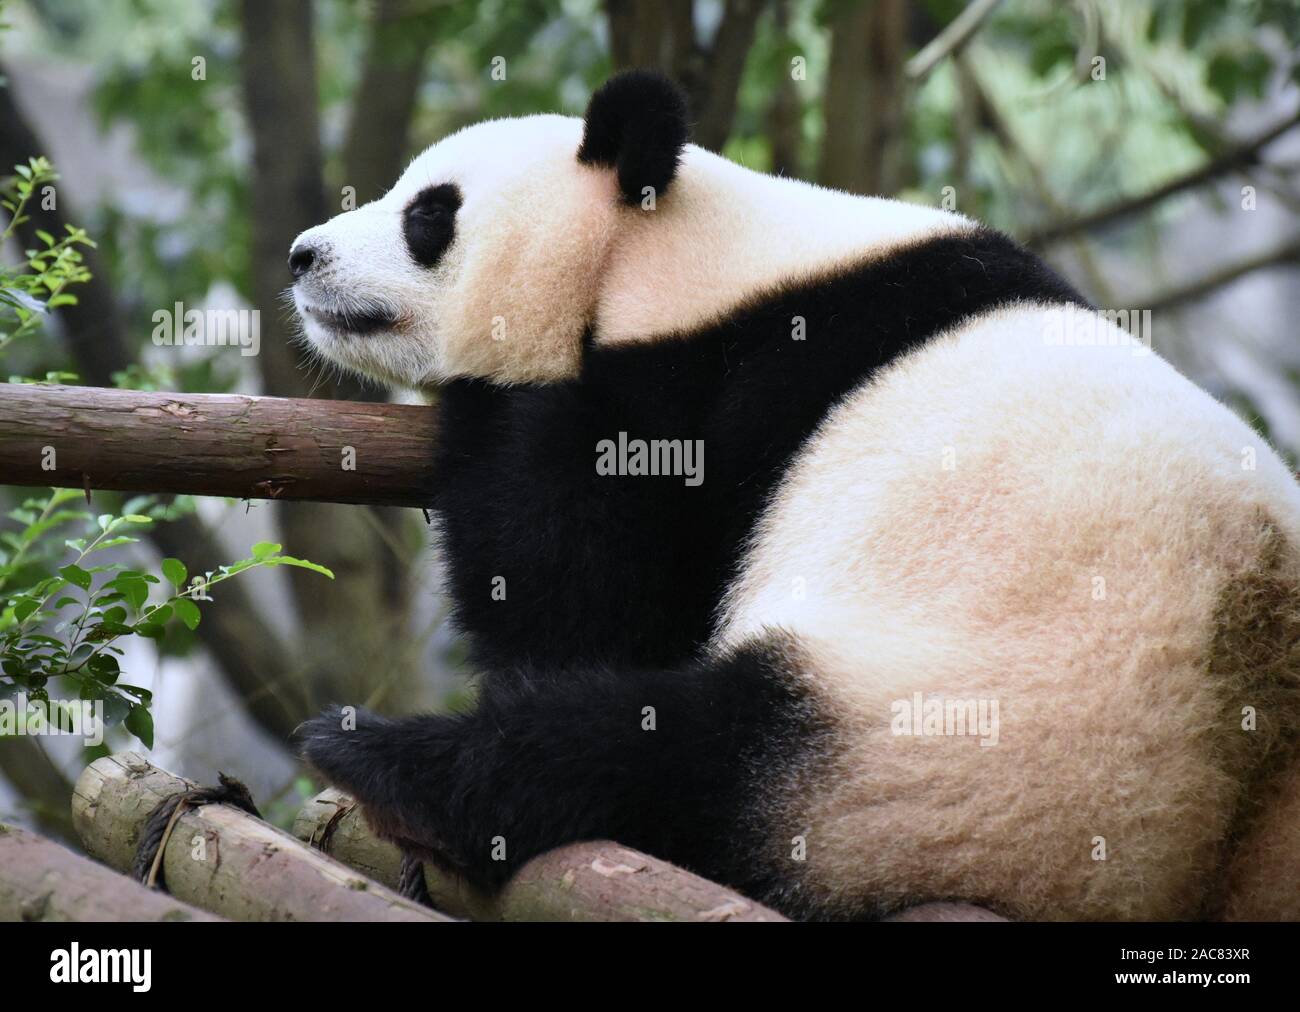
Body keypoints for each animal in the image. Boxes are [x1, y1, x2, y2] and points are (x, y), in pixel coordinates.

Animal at [291, 71, 1300, 921]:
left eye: (430, 214)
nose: (303, 255)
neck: (676, 254)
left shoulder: (712, 399)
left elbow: (581, 598)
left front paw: (483, 401)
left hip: (980, 745)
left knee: (677, 751)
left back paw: (388, 766)